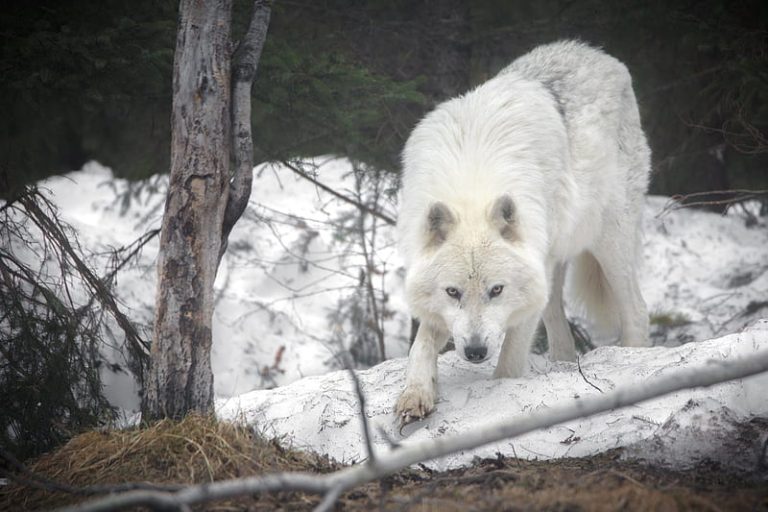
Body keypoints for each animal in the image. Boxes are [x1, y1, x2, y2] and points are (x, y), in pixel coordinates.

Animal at [395, 40, 651, 425]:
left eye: (496, 290)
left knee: (637, 310)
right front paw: (416, 395)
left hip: (609, 241)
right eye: (453, 292)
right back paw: (563, 364)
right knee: (557, 318)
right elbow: (420, 346)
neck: (473, 186)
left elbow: (511, 358)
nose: (475, 351)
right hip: (555, 260)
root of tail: (598, 54)